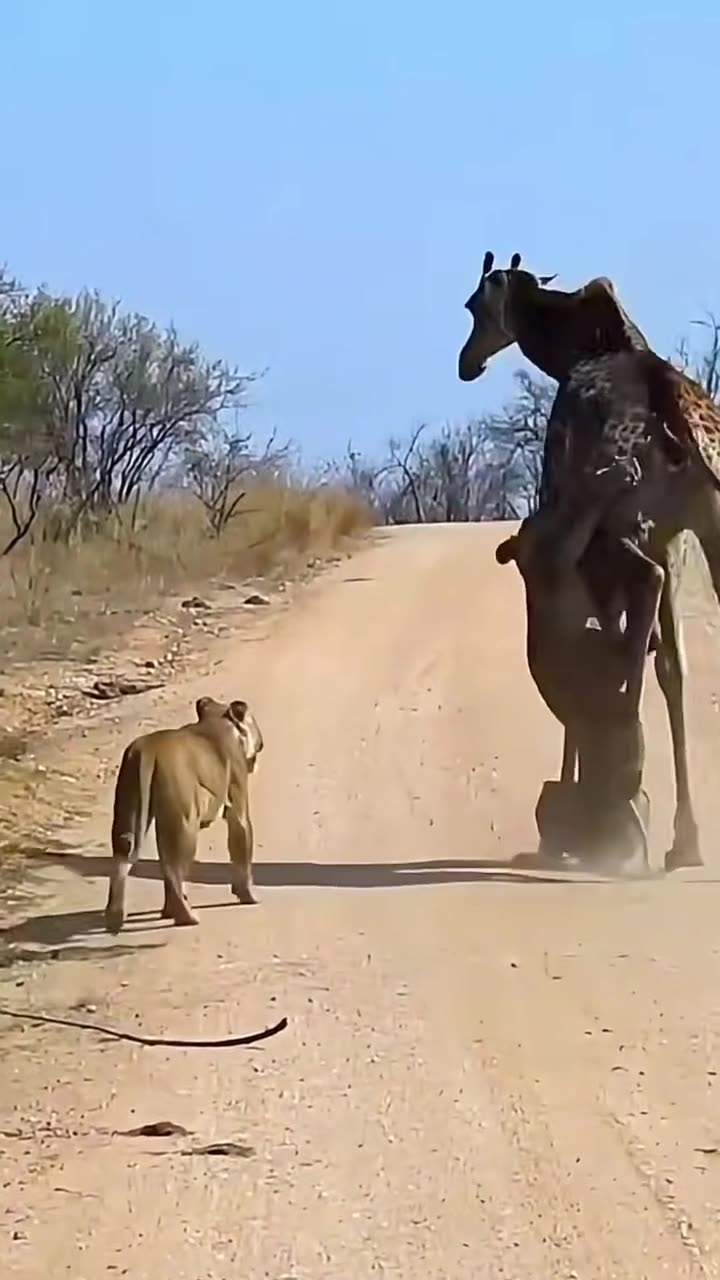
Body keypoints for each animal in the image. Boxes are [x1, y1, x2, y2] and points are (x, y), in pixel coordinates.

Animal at [104, 695, 264, 935]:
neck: (218, 721)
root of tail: (148, 749)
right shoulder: (238, 807)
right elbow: (242, 851)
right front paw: (248, 895)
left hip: (131, 815)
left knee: (126, 862)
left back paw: (116, 918)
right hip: (185, 824)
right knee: (174, 871)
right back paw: (186, 916)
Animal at [458, 251, 720, 871]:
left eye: (474, 306)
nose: (467, 363)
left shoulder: (577, 536)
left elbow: (585, 650)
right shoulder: (672, 535)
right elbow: (668, 668)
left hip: (624, 525)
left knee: (639, 597)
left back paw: (620, 794)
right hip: (707, 519)